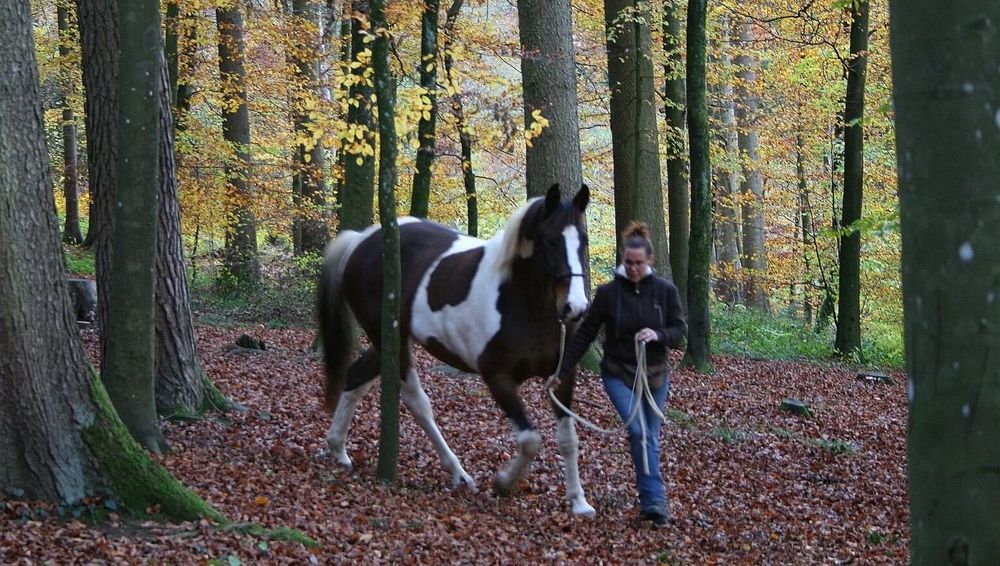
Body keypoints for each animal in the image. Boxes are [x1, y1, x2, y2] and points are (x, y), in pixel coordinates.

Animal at [318, 183, 595, 516]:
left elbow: (568, 439)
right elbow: (530, 440)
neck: (522, 304)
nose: (576, 308)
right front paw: (503, 483)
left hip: (390, 341)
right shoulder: (498, 378)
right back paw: (457, 472)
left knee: (357, 377)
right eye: (552, 240)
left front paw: (578, 501)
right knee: (417, 402)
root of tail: (361, 240)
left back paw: (338, 448)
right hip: (389, 341)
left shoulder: (562, 376)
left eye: (584, 239)